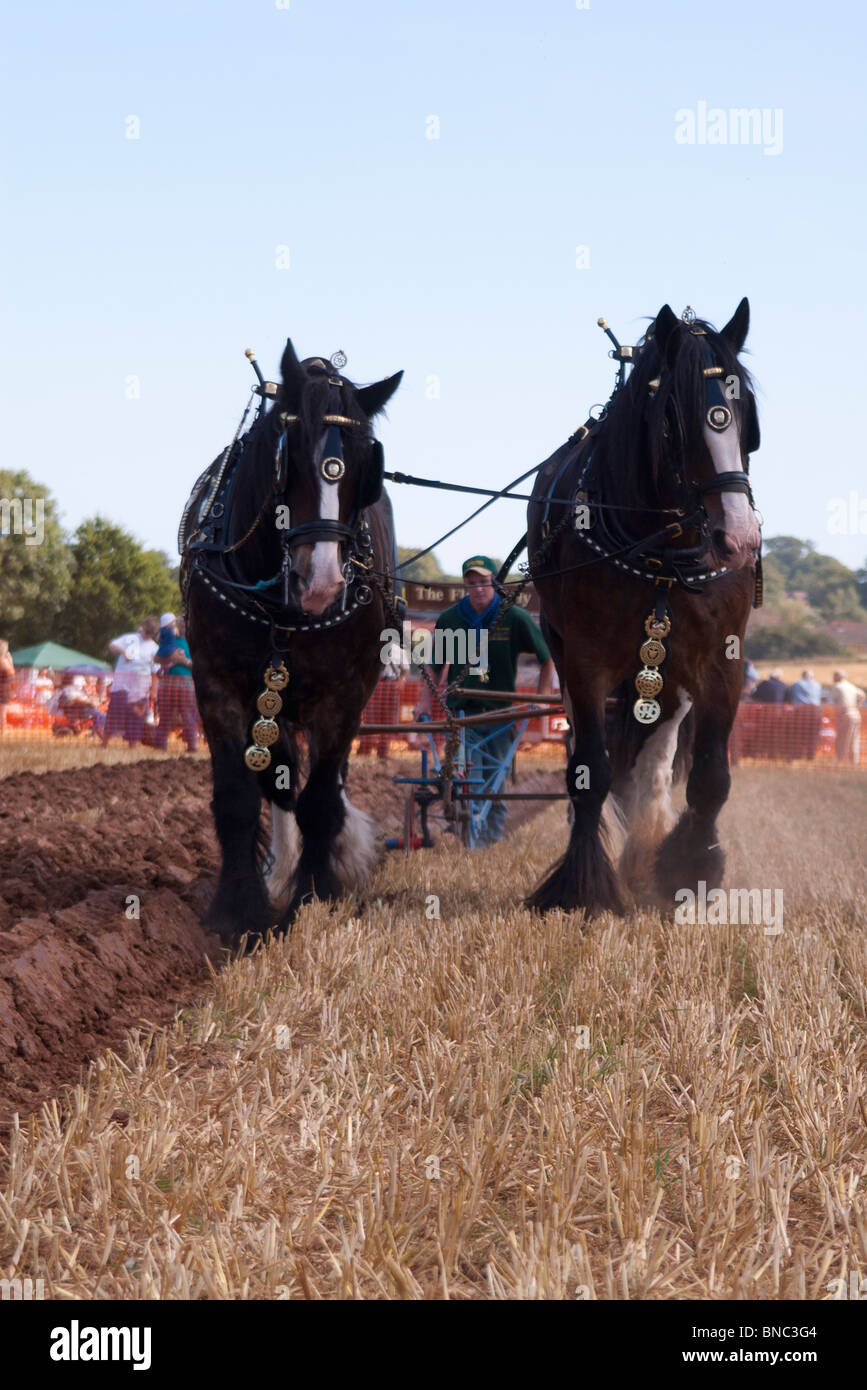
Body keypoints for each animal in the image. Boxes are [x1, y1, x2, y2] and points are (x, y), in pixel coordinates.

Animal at [182, 341, 403, 947]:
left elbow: (322, 802)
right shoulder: (217, 683)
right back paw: (279, 873)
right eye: (290, 454)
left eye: (366, 465)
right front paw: (238, 911)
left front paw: (313, 900)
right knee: (278, 785)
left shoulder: (346, 696)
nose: (322, 583)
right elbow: (239, 797)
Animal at [525, 299, 761, 915]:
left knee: (654, 767)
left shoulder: (721, 663)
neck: (661, 551)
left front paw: (689, 872)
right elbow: (590, 770)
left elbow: (710, 778)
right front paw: (582, 887)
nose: (739, 539)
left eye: (744, 411)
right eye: (676, 416)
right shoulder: (584, 662)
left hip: (670, 680)